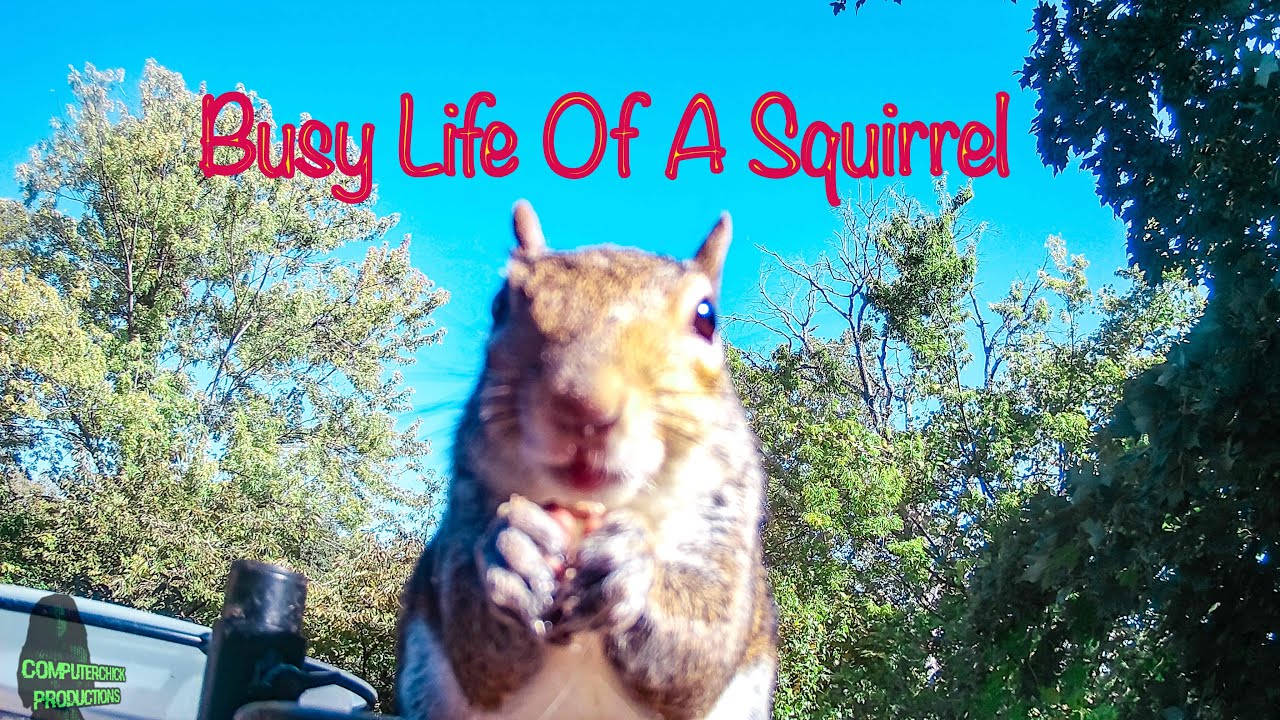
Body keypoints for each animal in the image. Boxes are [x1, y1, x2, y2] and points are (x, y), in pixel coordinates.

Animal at [395, 201, 778, 720]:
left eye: (707, 317)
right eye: (499, 306)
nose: (583, 405)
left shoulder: (727, 513)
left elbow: (702, 648)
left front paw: (632, 567)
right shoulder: (469, 498)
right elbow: (477, 656)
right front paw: (512, 552)